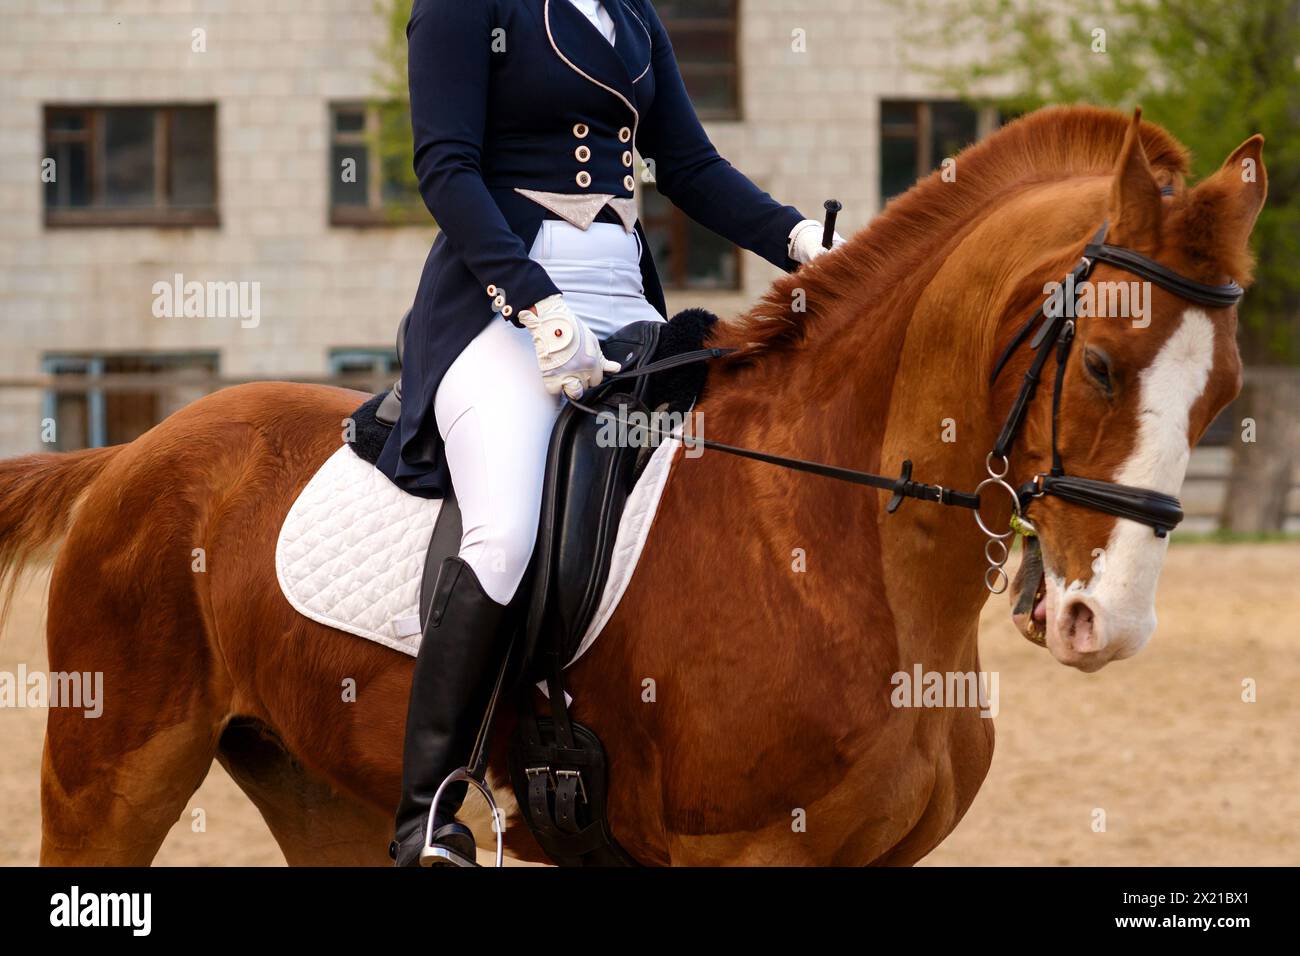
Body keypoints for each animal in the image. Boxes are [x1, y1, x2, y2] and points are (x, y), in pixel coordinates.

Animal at [0, 106, 1264, 866]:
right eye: (1099, 363)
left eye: (1222, 392)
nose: (1104, 621)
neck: (846, 551)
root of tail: (136, 451)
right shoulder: (741, 852)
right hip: (109, 777)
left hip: (318, 787)